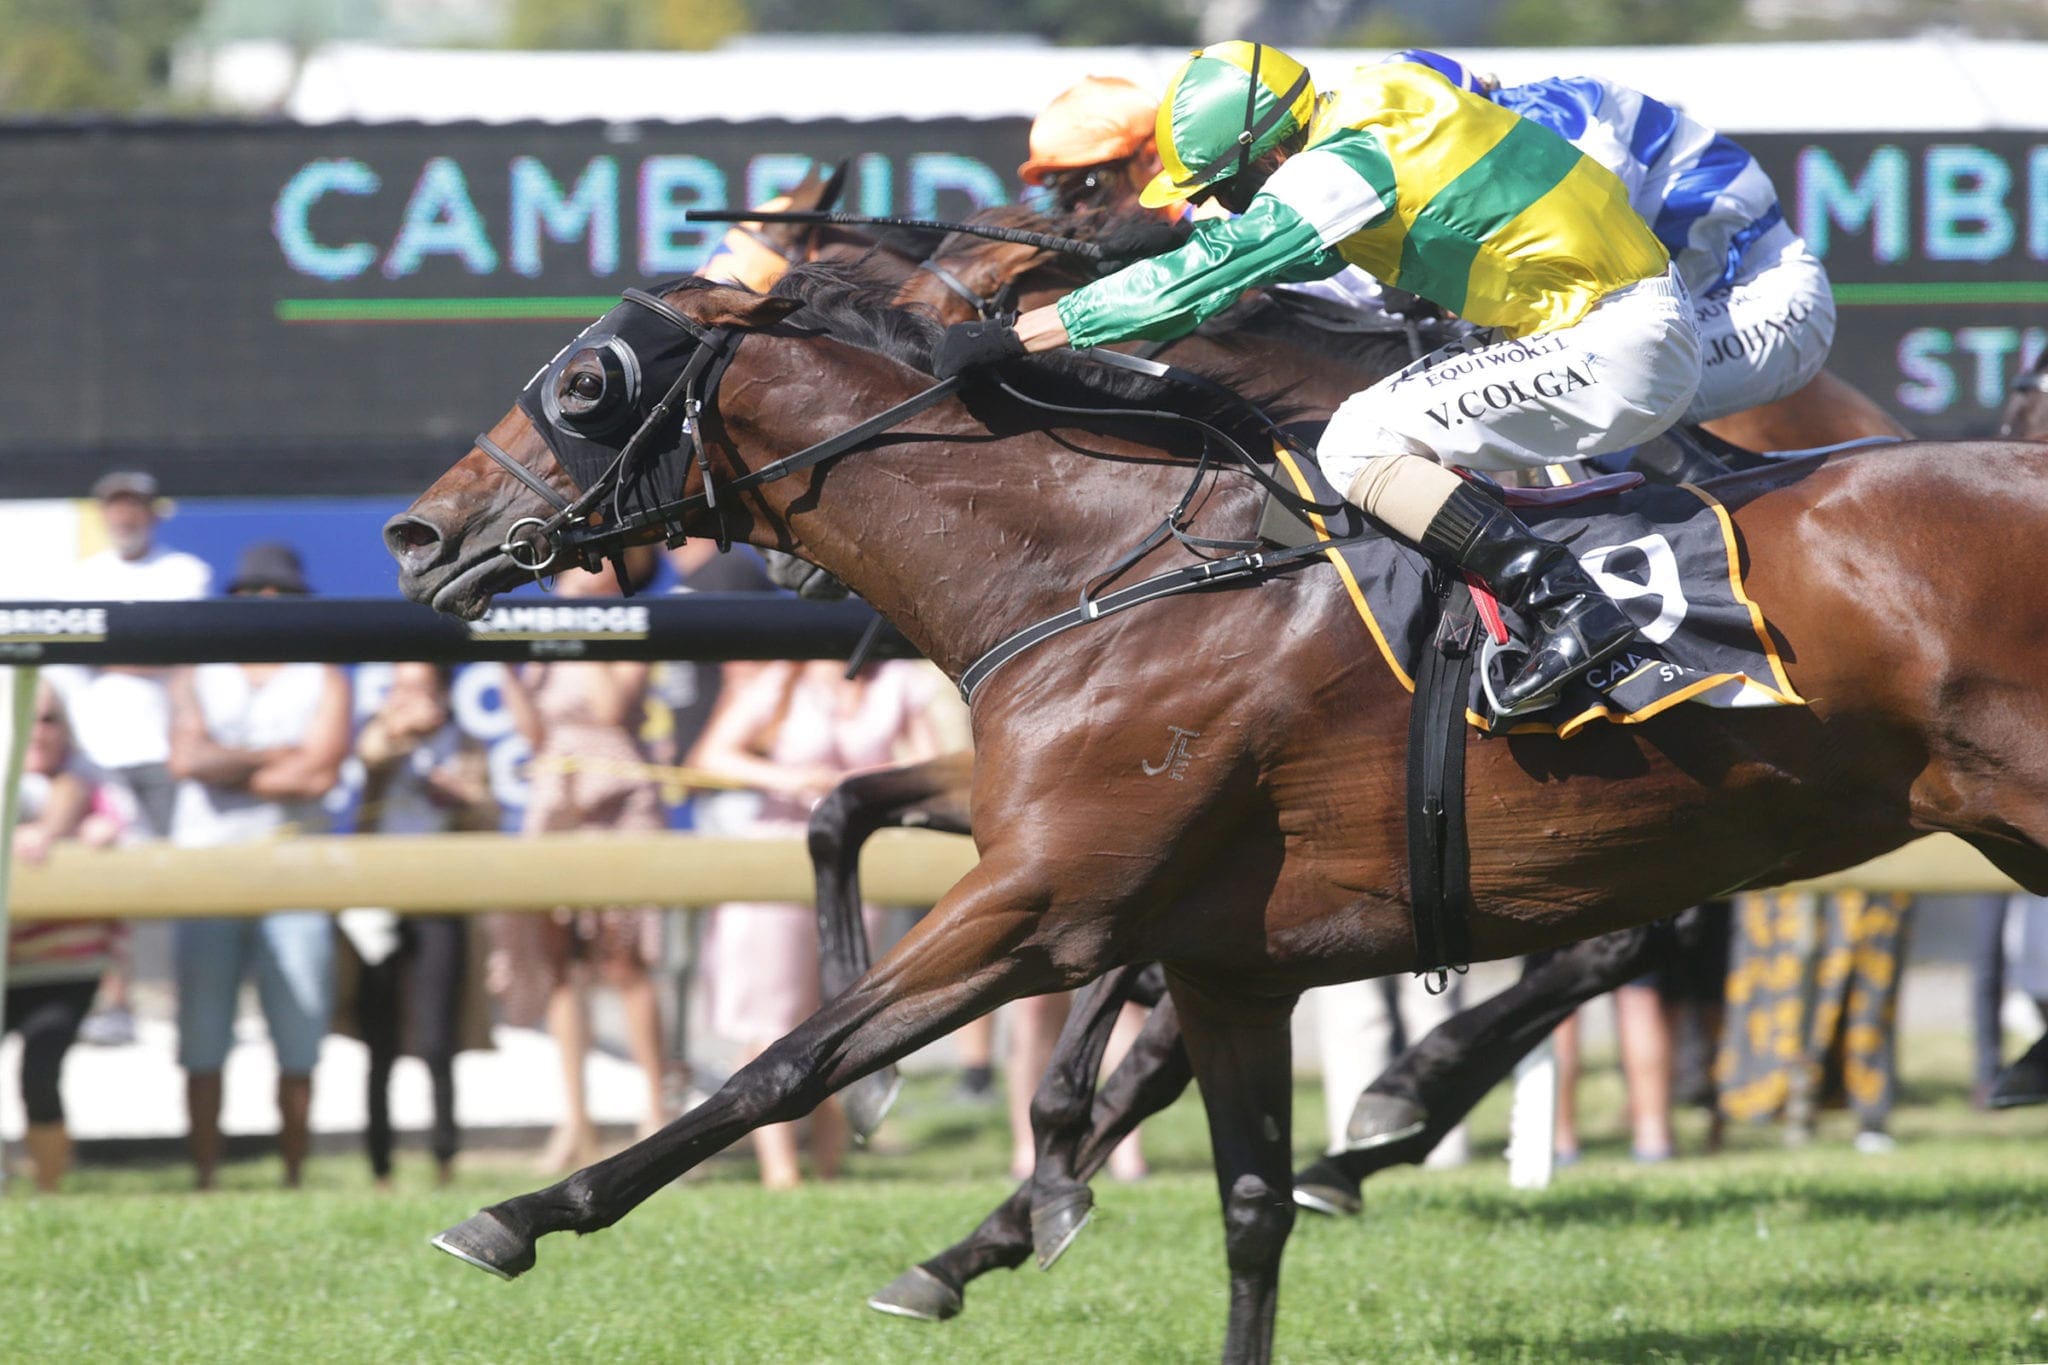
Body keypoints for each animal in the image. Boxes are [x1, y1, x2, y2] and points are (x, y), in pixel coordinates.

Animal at [389, 262, 2048, 1362]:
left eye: (584, 385)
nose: (422, 531)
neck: (1109, 563)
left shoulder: (1049, 904)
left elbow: (789, 1059)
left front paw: (524, 1212)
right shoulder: (1214, 952)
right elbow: (1242, 1199)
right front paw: (998, 1206)